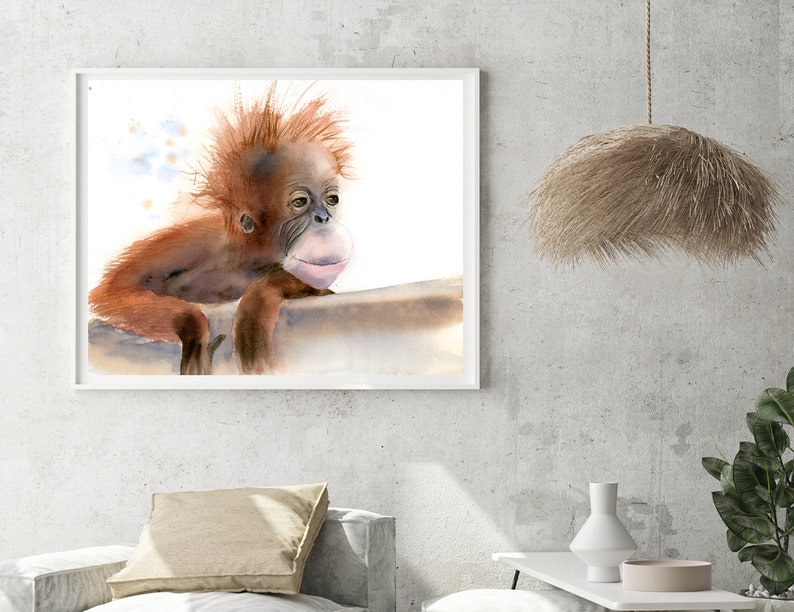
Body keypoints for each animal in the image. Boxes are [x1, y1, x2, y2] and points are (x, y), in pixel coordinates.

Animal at [89, 84, 354, 375]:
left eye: (332, 199)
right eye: (300, 202)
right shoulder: (198, 238)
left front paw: (257, 305)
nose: (323, 218)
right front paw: (194, 327)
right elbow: (116, 287)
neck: (249, 258)